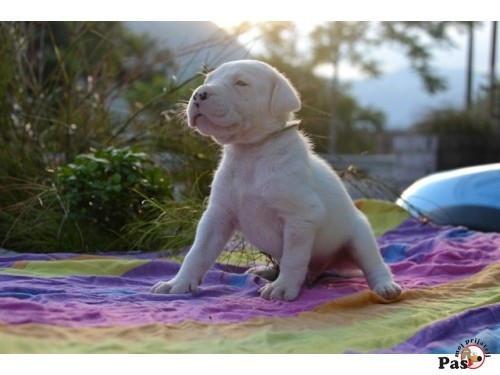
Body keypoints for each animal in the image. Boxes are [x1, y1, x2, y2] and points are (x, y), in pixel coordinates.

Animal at [149, 61, 402, 302]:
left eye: (241, 83)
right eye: (208, 80)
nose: (199, 94)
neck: (251, 152)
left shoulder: (301, 217)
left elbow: (293, 257)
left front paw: (282, 288)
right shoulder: (217, 216)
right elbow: (197, 253)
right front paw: (178, 284)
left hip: (359, 236)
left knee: (375, 264)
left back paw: (385, 286)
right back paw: (265, 271)